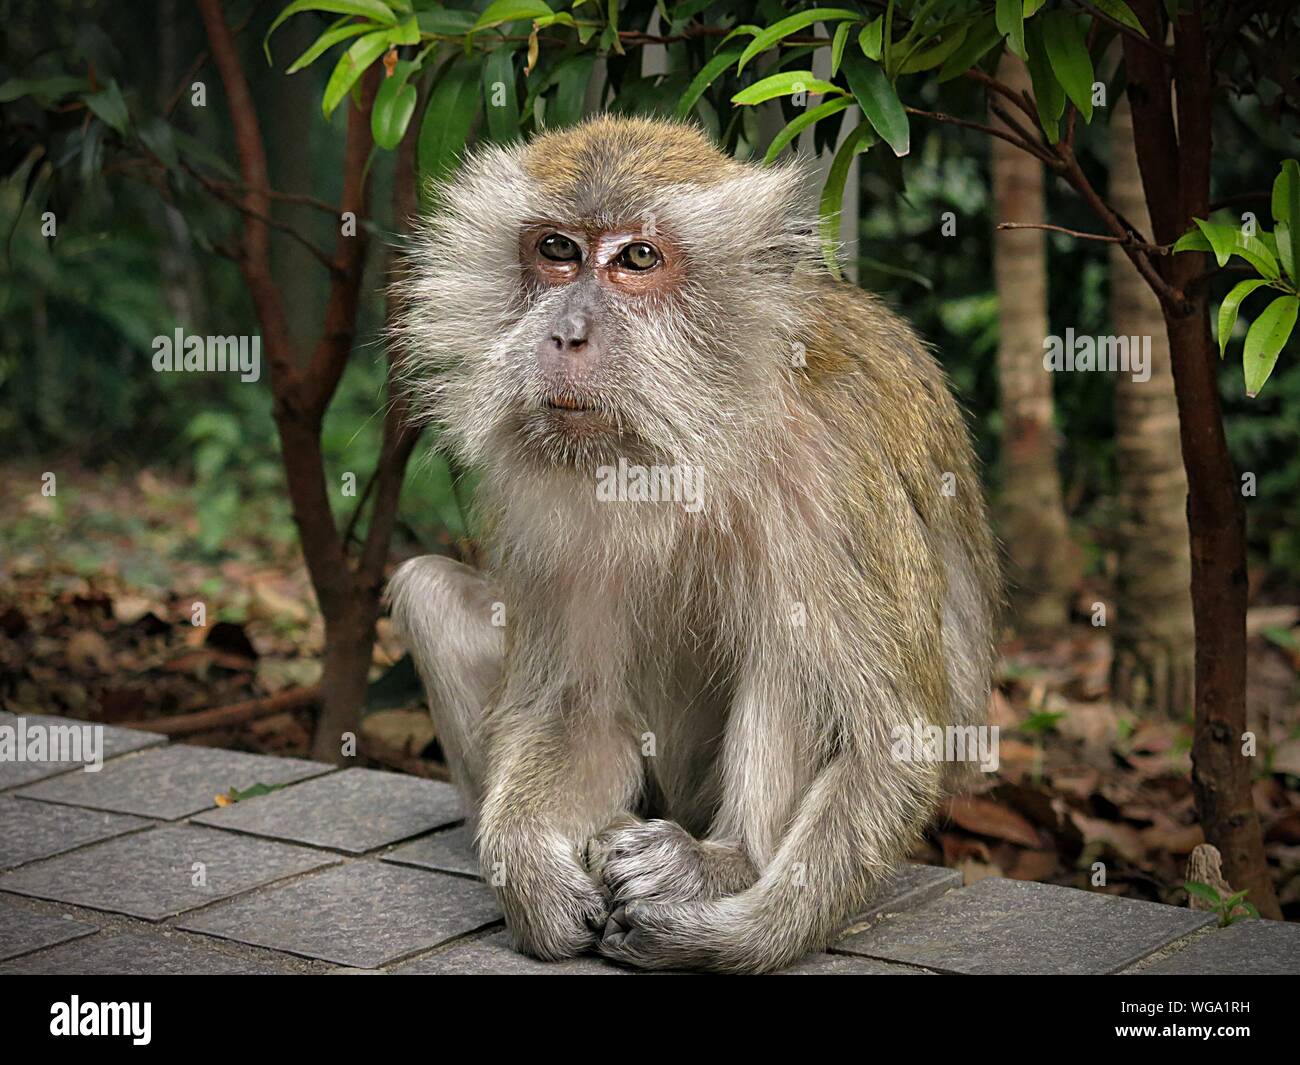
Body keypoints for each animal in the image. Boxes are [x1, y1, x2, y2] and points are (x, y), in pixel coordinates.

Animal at [388, 116, 998, 974]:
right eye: (557, 249)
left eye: (638, 258)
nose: (566, 332)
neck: (686, 440)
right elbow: (580, 709)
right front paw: (529, 873)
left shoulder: (831, 465)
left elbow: (889, 739)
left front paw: (737, 934)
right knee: (428, 591)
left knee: (789, 642)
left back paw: (724, 861)